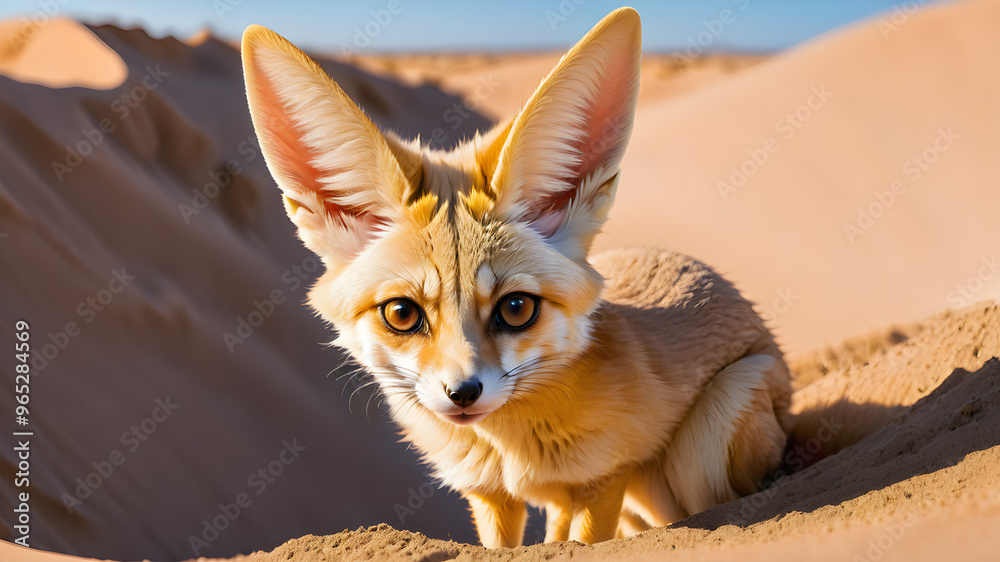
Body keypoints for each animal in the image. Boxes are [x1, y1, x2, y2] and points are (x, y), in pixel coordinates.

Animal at [241, 7, 792, 548]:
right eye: (401, 313)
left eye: (516, 308)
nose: (463, 393)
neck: (508, 450)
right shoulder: (488, 494)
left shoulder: (604, 479)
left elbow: (586, 540)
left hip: (705, 441)